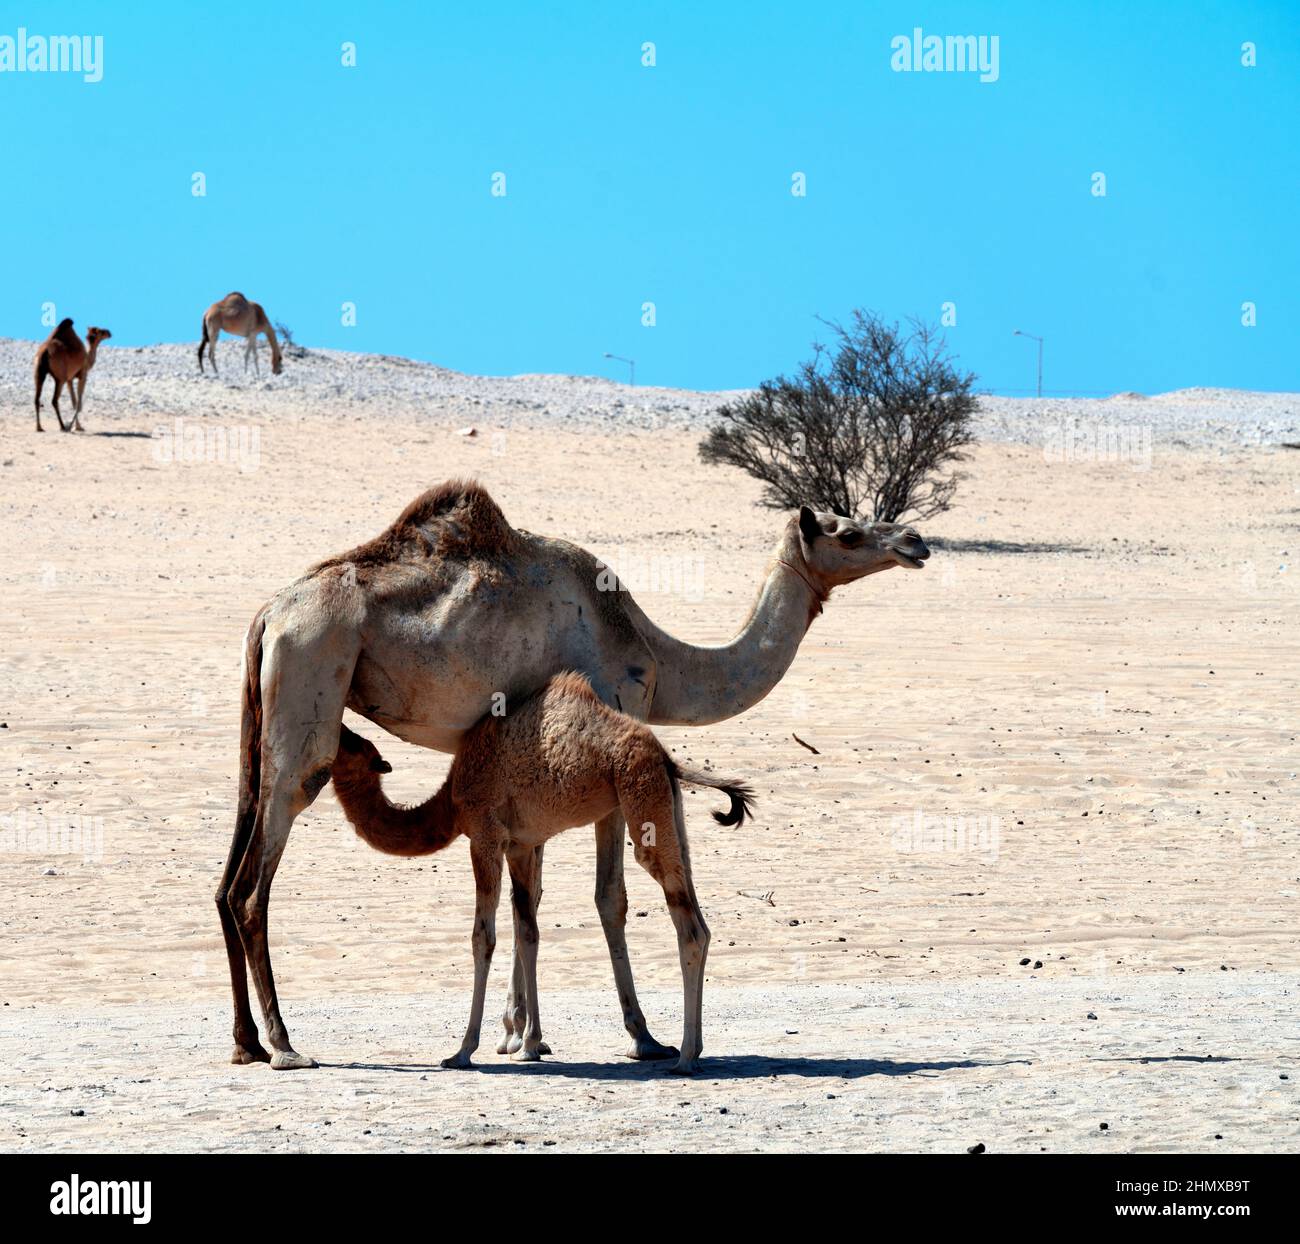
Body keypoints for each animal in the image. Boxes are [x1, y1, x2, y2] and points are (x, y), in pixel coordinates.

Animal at [331, 673, 755, 1074]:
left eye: (353, 747)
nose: (340, 729)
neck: (450, 802)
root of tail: (667, 758)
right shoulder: (521, 844)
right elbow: (527, 931)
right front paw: (530, 1041)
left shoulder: (485, 836)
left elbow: (483, 938)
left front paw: (464, 1050)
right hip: (669, 813)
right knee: (698, 918)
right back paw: (692, 1049)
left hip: (640, 798)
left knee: (689, 928)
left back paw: (683, 1058)